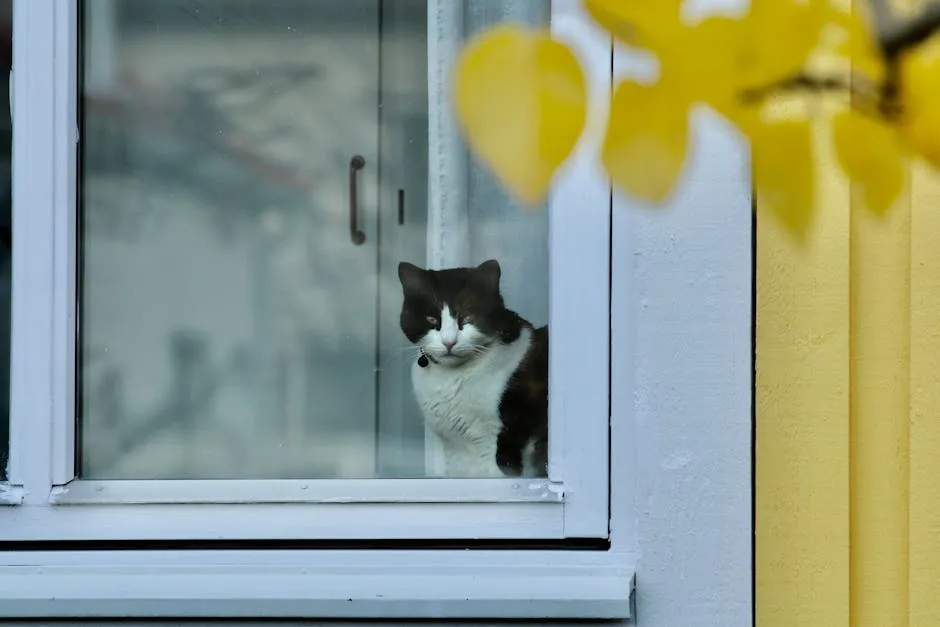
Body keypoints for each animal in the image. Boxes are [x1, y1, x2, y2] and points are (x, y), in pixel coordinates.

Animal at [398, 258, 552, 478]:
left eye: (468, 317)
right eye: (432, 320)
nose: (449, 341)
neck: (450, 378)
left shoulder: (498, 436)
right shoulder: (454, 448)